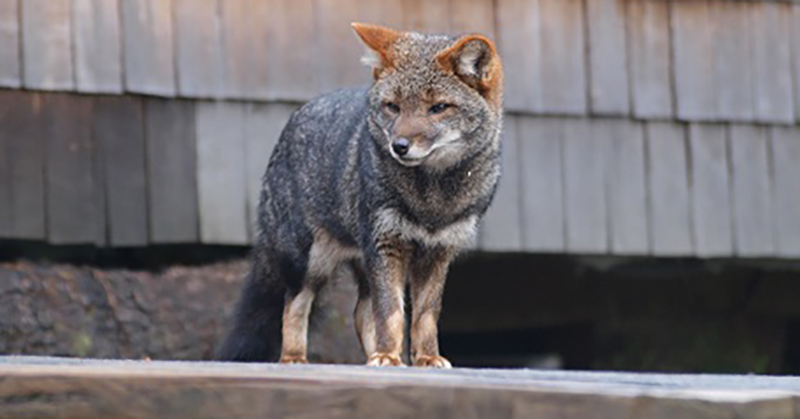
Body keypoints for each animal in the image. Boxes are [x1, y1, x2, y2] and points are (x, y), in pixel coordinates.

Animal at [217, 22, 504, 368]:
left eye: (438, 108)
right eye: (393, 106)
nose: (399, 146)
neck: (431, 201)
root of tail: (298, 113)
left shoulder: (438, 251)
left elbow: (424, 316)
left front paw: (424, 358)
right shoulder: (386, 244)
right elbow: (391, 312)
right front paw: (387, 355)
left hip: (358, 264)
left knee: (360, 313)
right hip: (310, 261)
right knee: (294, 303)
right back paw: (294, 358)